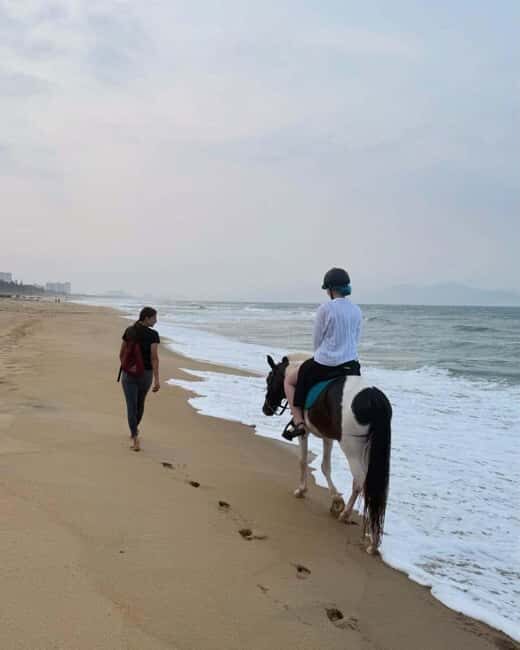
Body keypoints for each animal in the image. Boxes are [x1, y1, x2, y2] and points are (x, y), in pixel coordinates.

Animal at [262, 354, 392, 553]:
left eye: (269, 379)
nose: (266, 409)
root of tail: (373, 398)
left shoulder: (305, 432)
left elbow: (302, 460)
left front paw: (302, 490)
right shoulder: (327, 437)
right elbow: (325, 466)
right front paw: (336, 499)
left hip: (352, 448)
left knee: (361, 482)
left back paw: (367, 535)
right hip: (367, 450)